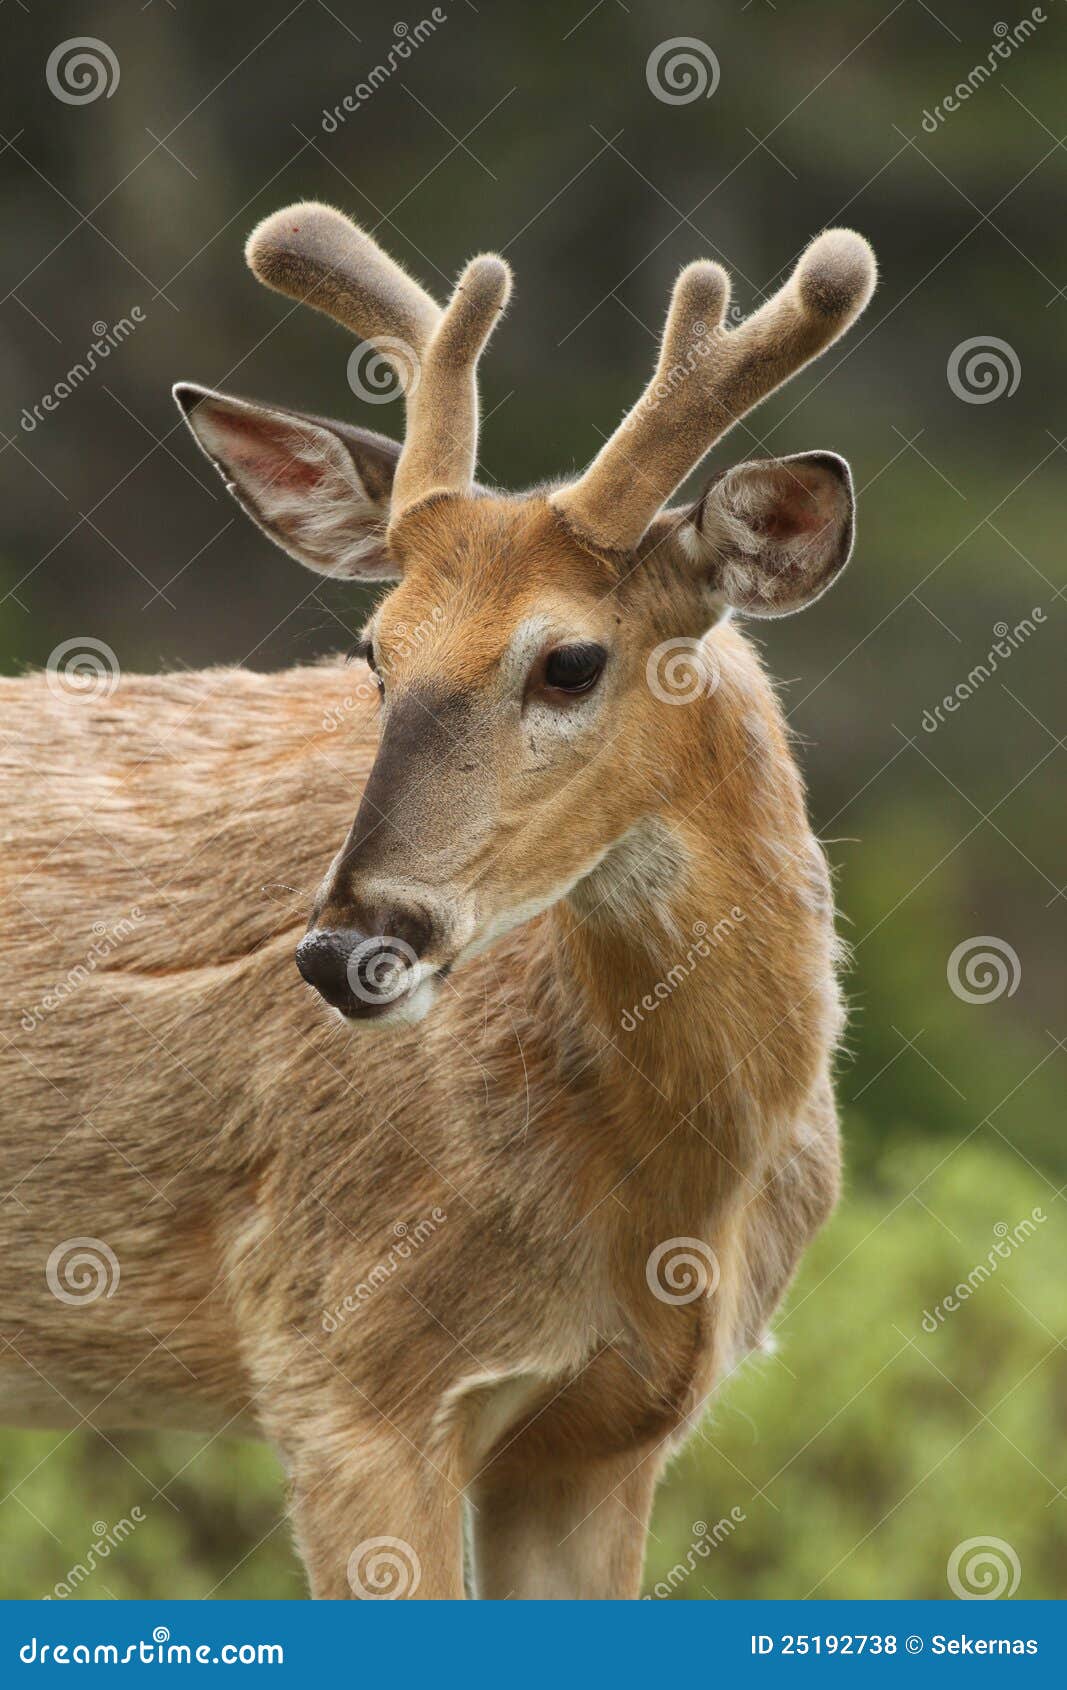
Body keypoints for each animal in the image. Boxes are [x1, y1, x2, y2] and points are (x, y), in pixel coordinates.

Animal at [0, 202, 876, 1599]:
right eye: (374, 651)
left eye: (568, 660)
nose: (345, 949)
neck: (668, 1198)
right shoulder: (341, 1366)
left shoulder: (609, 1430)